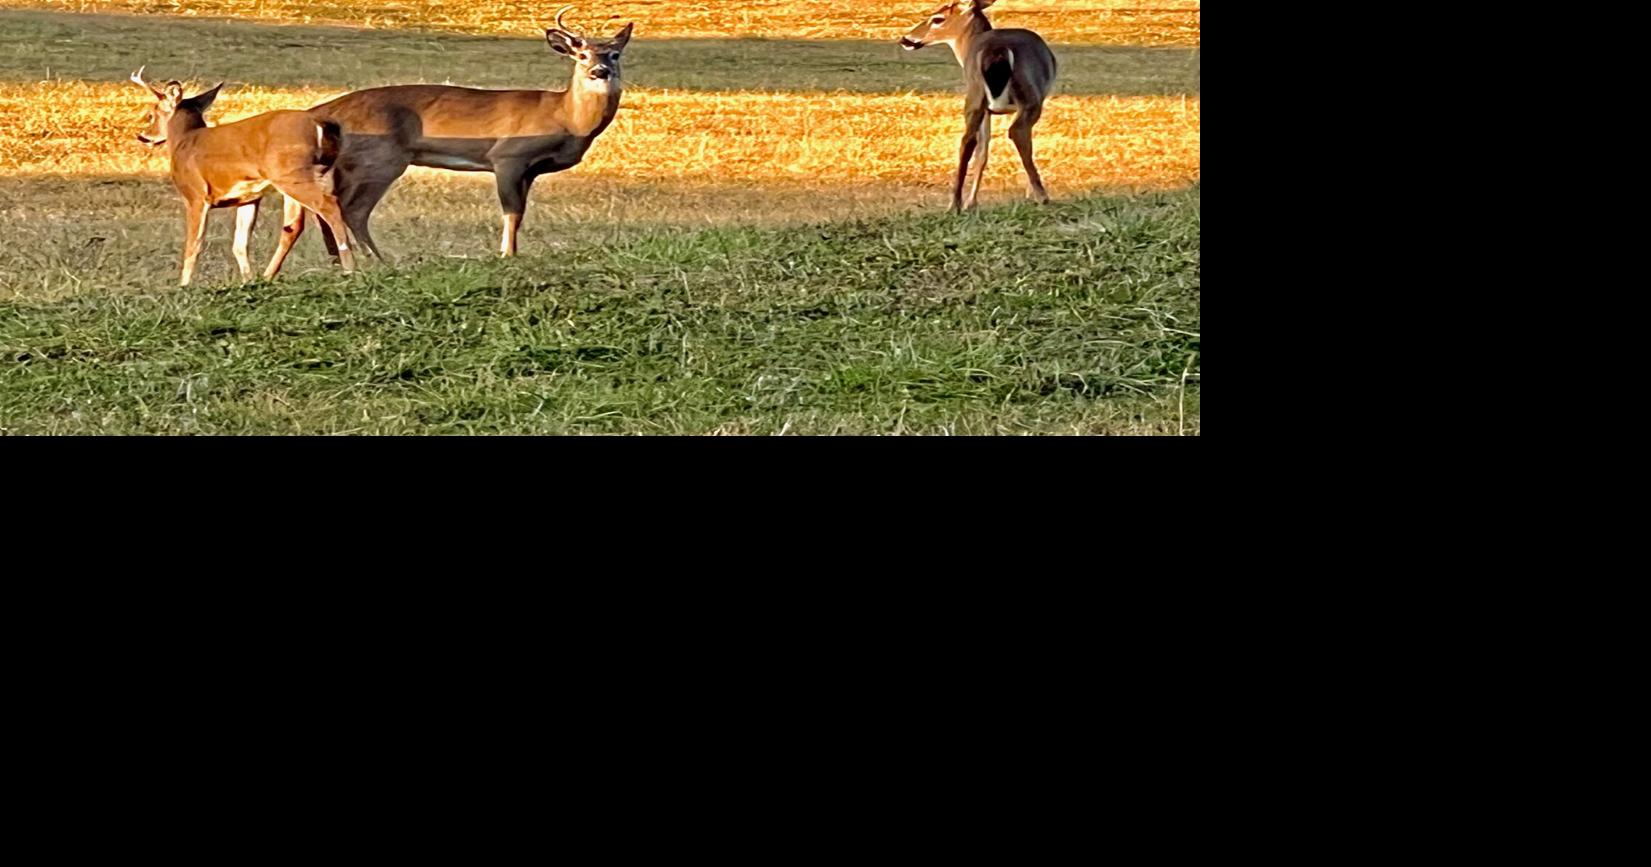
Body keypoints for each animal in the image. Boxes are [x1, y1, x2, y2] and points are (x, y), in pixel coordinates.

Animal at [130, 68, 357, 286]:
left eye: (153, 113)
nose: (143, 136)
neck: (184, 140)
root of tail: (321, 124)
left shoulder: (195, 195)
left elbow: (193, 245)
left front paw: (183, 286)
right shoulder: (248, 198)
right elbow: (239, 244)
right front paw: (247, 281)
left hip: (293, 174)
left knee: (329, 206)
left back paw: (350, 268)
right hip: (314, 174)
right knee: (296, 224)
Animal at [292, 5, 633, 261]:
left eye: (614, 54)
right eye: (581, 55)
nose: (599, 71)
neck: (565, 116)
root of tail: (326, 109)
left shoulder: (530, 170)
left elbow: (520, 213)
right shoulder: (508, 156)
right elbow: (512, 212)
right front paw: (507, 254)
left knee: (329, 205)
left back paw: (341, 260)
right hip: (380, 158)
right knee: (353, 209)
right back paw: (377, 260)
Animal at [898, 0, 1057, 211]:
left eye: (938, 19)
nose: (906, 39)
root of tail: (998, 50)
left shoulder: (987, 110)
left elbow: (982, 153)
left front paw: (970, 202)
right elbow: (986, 151)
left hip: (977, 94)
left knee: (968, 140)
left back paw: (955, 204)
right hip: (1028, 94)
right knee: (1016, 131)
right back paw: (1041, 196)